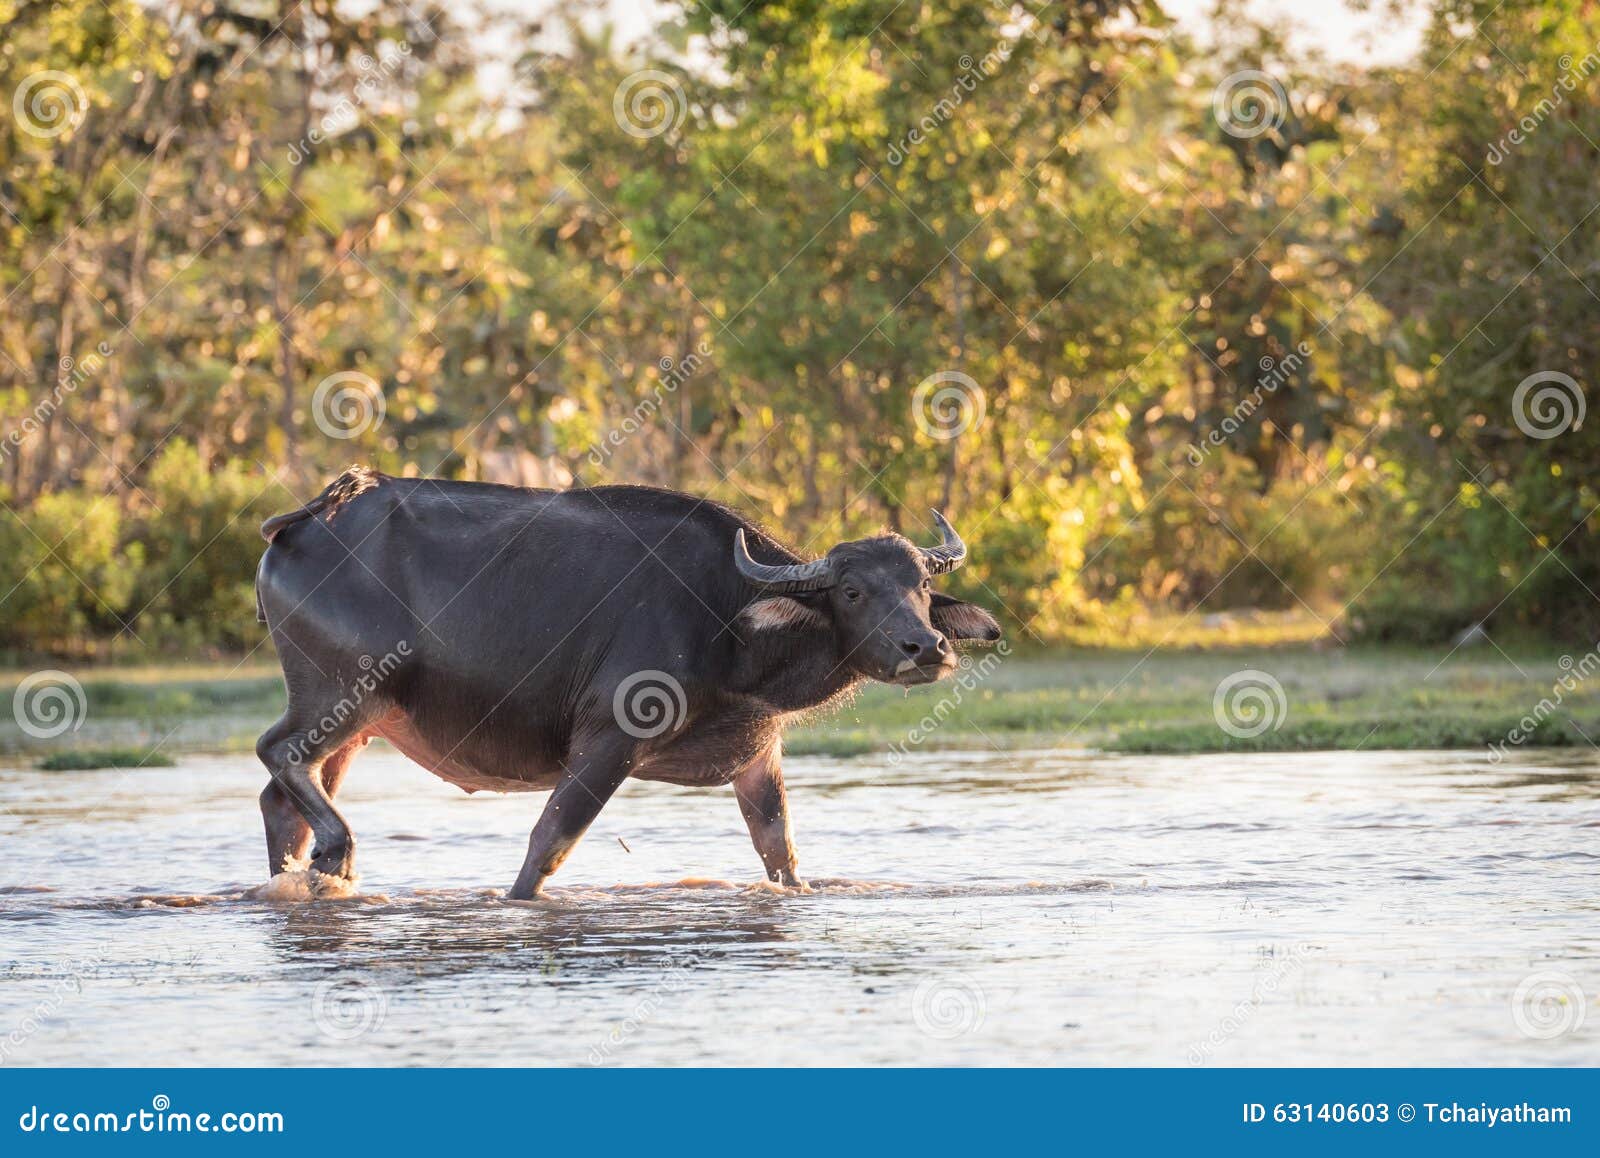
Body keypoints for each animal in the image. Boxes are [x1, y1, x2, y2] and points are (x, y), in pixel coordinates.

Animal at [254, 467, 1001, 897]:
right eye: (851, 590)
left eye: (921, 583)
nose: (927, 647)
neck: (726, 615)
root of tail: (304, 525)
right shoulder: (609, 740)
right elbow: (547, 846)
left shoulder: (757, 757)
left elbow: (781, 854)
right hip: (340, 697)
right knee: (278, 753)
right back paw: (339, 852)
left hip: (360, 724)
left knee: (281, 798)